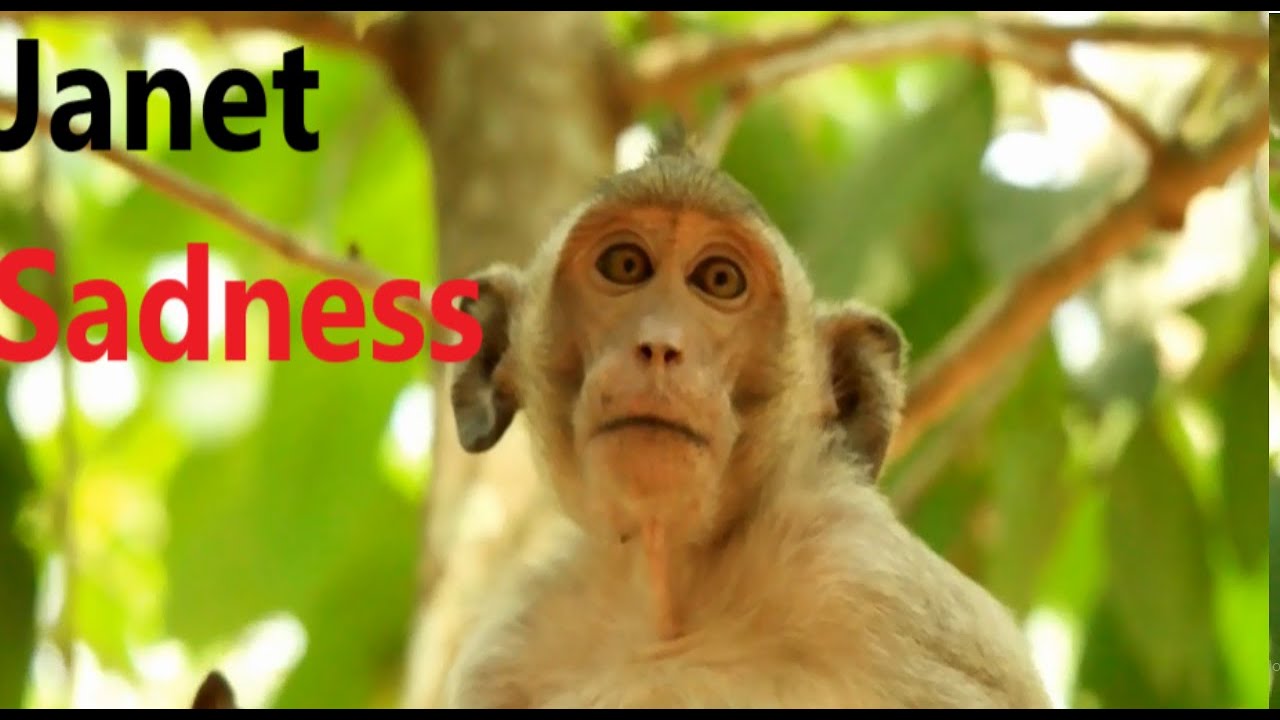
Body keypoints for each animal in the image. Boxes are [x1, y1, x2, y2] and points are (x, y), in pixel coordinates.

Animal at [439, 134, 1053, 709]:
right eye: (626, 266)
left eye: (719, 279)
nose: (659, 345)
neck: (672, 601)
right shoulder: (506, 652)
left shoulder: (868, 573)